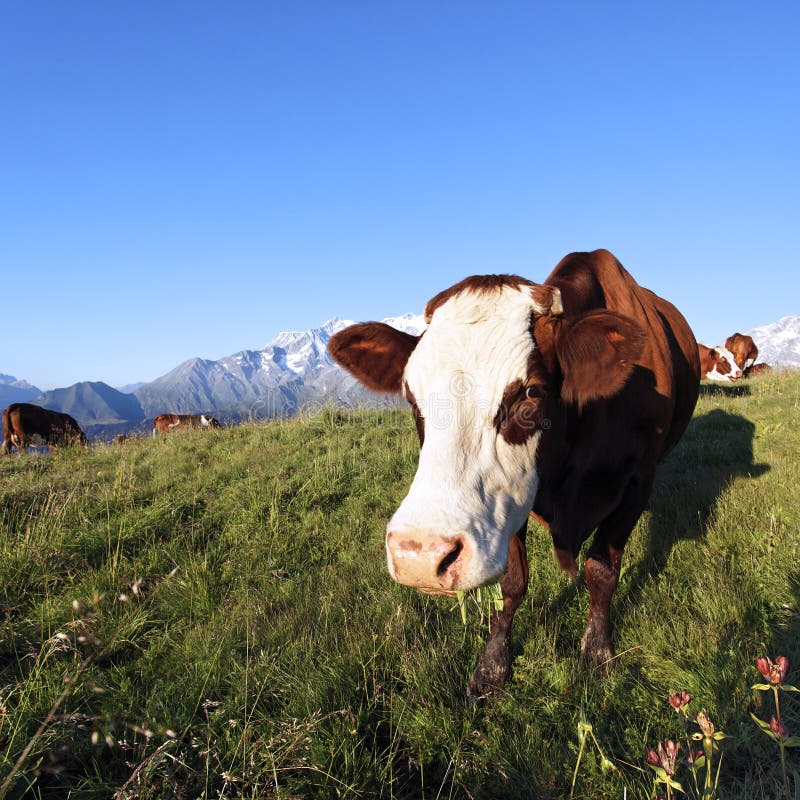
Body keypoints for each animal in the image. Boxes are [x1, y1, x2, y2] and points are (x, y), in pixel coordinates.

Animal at [329, 249, 699, 697]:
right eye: (410, 395)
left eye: (530, 393)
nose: (419, 555)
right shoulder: (505, 503)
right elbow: (513, 583)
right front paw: (492, 663)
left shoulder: (636, 482)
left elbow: (601, 571)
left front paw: (597, 651)